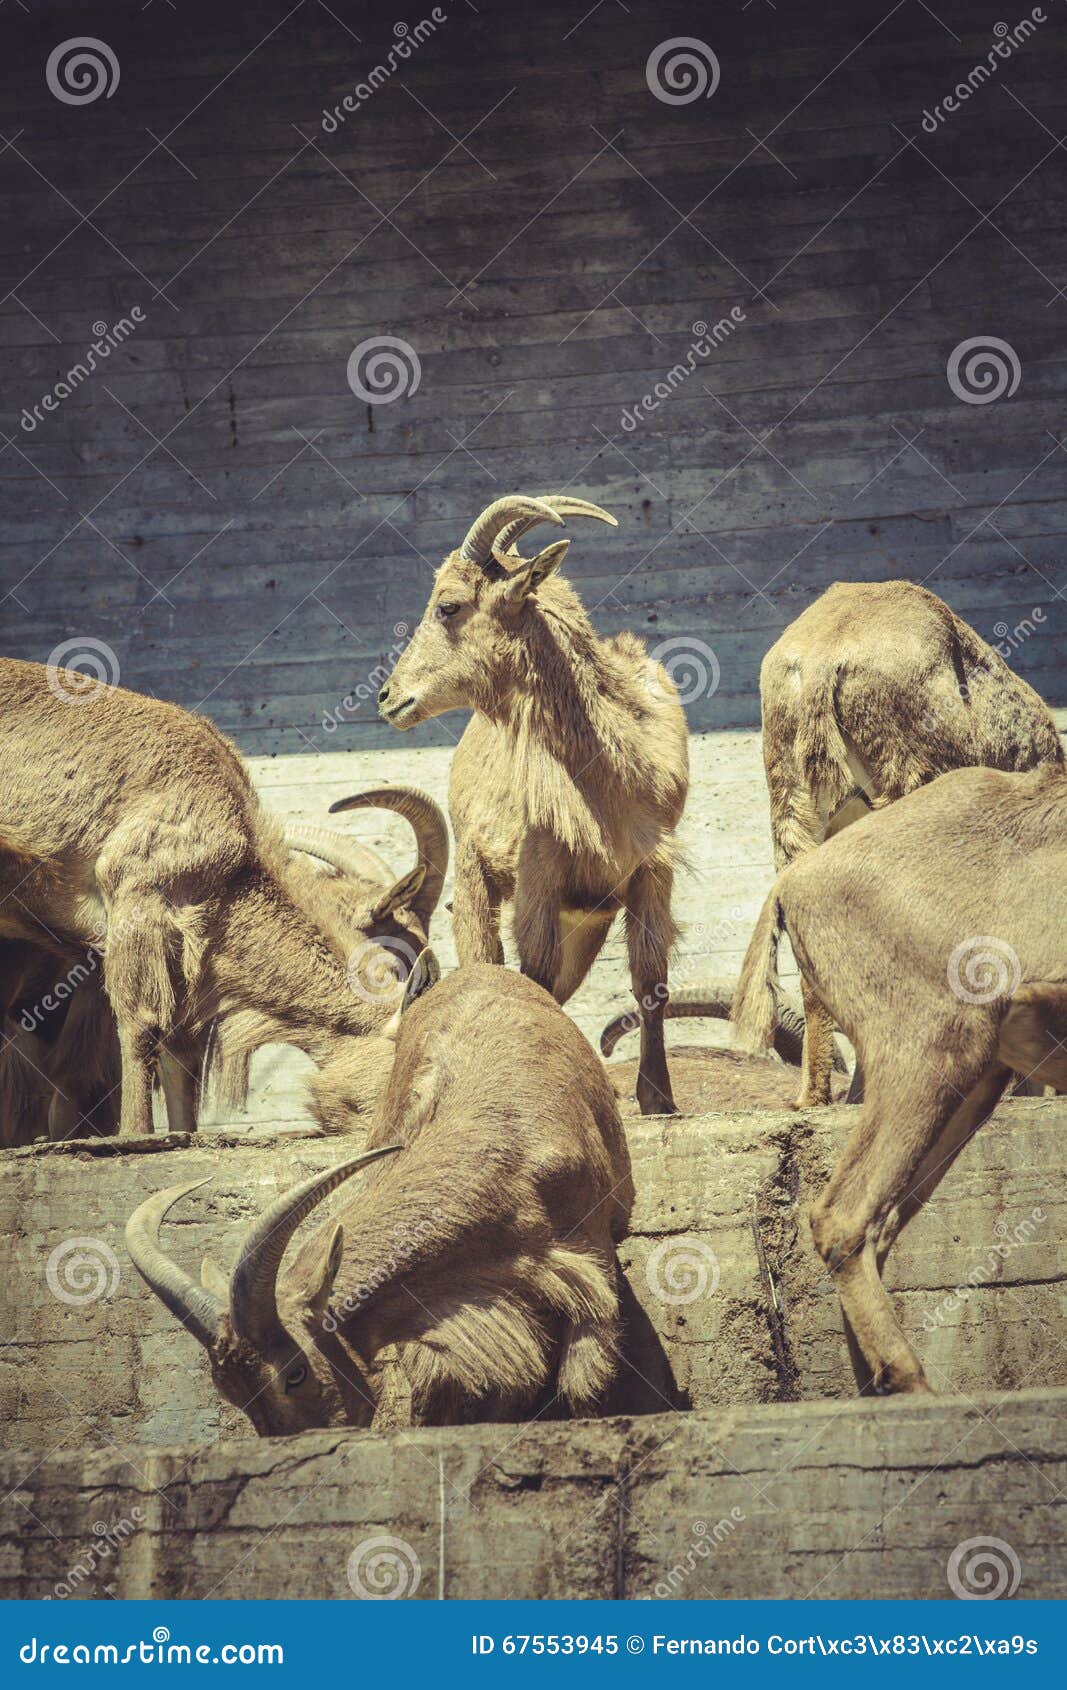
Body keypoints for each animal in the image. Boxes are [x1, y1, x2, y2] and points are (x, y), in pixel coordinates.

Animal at [0, 654, 447, 1137]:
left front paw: (181, 1134)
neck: (232, 849)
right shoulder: (135, 902)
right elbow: (140, 1026)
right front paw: (136, 1133)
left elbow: (181, 1060)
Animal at [376, 494, 689, 1116]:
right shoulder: (536, 871)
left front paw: (657, 1099)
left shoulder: (650, 869)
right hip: (477, 880)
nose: (388, 696)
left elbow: (650, 980)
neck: (605, 778)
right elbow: (533, 974)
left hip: (586, 922)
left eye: (448, 606)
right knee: (488, 962)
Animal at [732, 761, 1066, 1394]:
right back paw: (914, 1385)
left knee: (879, 1228)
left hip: (971, 1083)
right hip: (934, 1049)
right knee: (843, 1218)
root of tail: (791, 886)